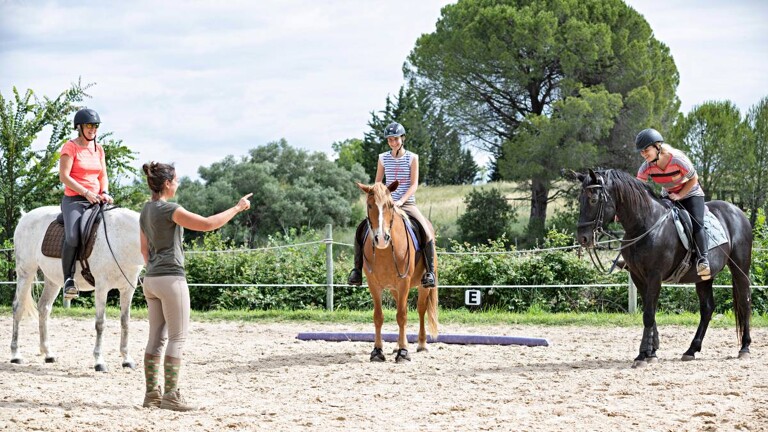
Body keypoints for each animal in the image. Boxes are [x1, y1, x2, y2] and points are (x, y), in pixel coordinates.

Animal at [10, 205, 144, 372]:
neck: (121, 239)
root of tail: (25, 216)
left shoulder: (127, 289)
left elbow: (125, 322)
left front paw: (126, 359)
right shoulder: (102, 287)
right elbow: (100, 323)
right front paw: (99, 361)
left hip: (52, 280)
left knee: (44, 308)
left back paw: (48, 354)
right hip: (25, 273)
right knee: (18, 308)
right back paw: (16, 355)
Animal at [357, 181, 439, 362]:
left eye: (390, 205)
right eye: (370, 205)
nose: (381, 239)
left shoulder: (404, 282)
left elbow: (402, 316)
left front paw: (403, 352)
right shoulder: (374, 285)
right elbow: (378, 317)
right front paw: (377, 351)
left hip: (422, 285)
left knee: (420, 309)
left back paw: (421, 344)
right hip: (395, 289)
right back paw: (397, 345)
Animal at [573, 169, 752, 368]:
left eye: (593, 200)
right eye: (580, 199)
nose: (583, 238)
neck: (645, 225)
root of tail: (738, 211)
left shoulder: (655, 276)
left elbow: (648, 314)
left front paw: (643, 355)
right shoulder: (638, 276)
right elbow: (648, 312)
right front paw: (652, 350)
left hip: (740, 268)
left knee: (745, 302)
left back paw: (744, 348)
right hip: (703, 278)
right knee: (707, 309)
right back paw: (691, 350)